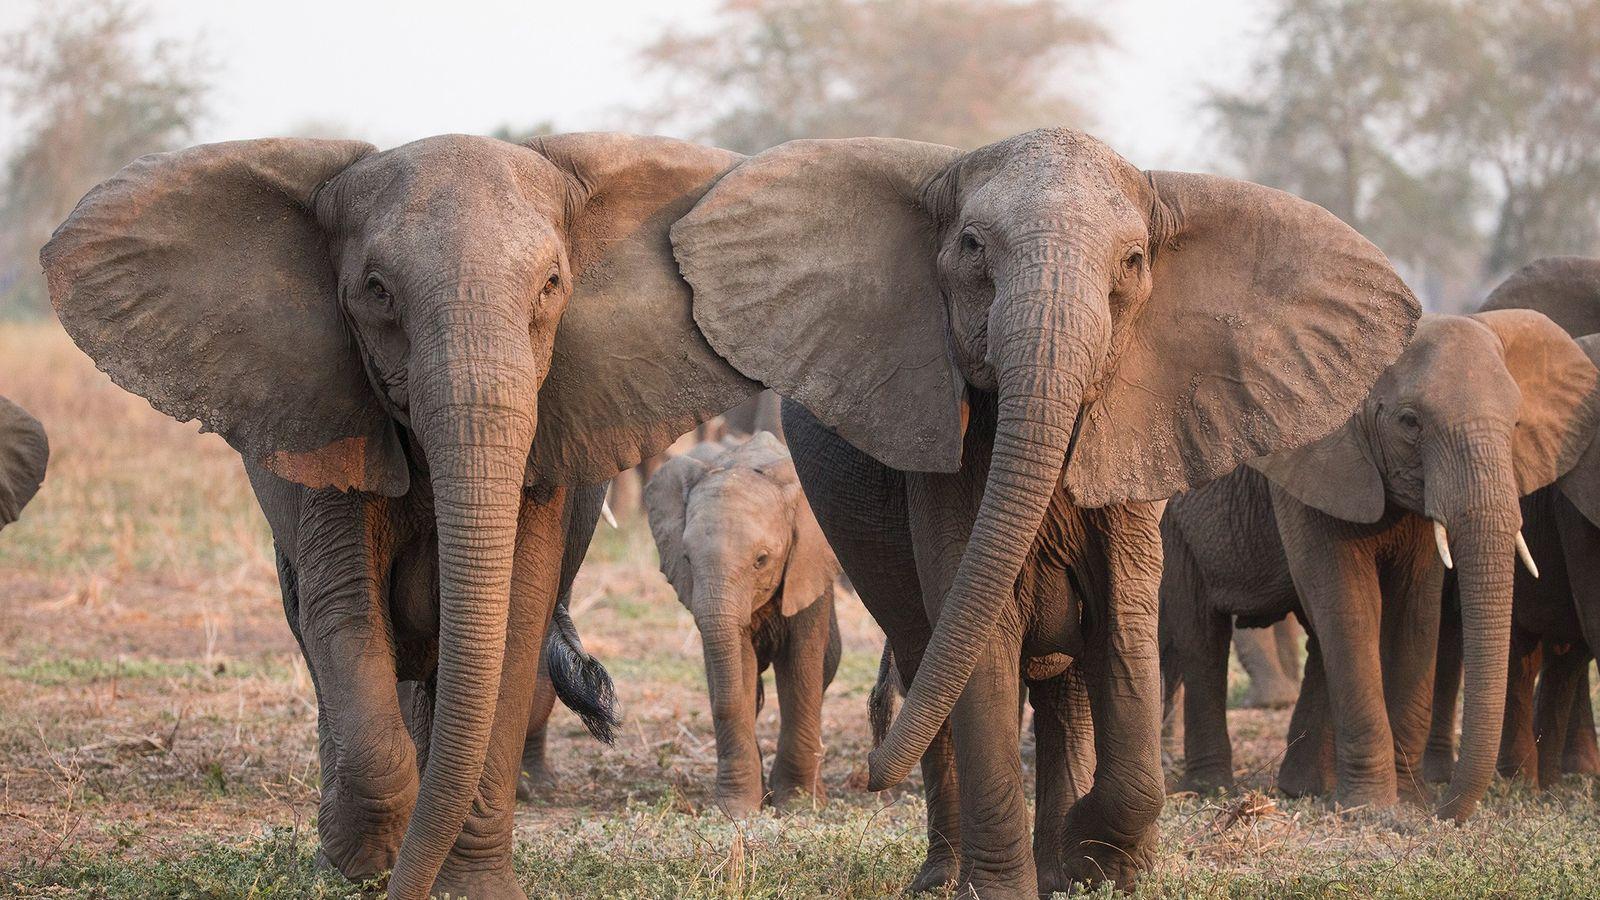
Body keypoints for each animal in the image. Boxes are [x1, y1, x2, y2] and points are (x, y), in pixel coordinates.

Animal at [44, 132, 760, 899]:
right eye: (376, 290)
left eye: (551, 285)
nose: (398, 888)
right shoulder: (329, 422)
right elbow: (346, 613)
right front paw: (360, 869)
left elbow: (512, 620)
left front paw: (469, 887)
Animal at [644, 431, 841, 815]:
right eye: (686, 558)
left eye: (761, 560)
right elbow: (736, 667)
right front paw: (736, 811)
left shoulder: (808, 567)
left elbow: (801, 670)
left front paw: (798, 805)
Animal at [671, 127, 1420, 895]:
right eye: (972, 245)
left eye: (1134, 261)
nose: (868, 776)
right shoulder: (947, 461)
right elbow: (981, 631)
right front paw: (1020, 881)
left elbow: (1124, 622)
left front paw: (1098, 858)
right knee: (927, 658)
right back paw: (947, 877)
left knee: (1061, 687)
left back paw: (1062, 862)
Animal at [1160, 311, 1600, 821]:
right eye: (1410, 423)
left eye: (1515, 423)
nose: (1442, 810)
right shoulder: (1313, 462)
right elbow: (1350, 606)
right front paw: (1370, 808)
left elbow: (1416, 611)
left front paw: (1406, 800)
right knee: (1201, 637)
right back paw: (1210, 788)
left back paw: (1302, 787)